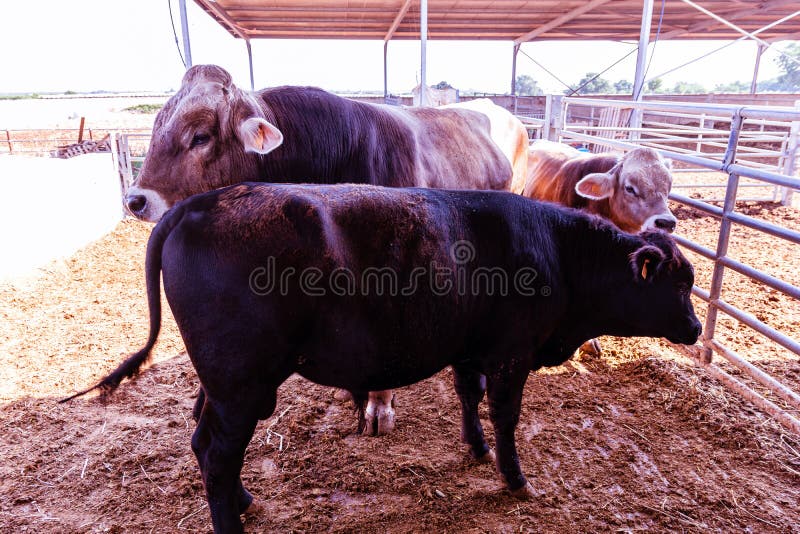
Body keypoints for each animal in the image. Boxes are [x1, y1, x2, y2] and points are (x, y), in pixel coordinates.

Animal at [65, 183, 702, 534]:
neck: (557, 252)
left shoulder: (470, 350)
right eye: (676, 285)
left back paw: (244, 501)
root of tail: (199, 203)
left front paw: (476, 450)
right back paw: (232, 521)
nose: (697, 328)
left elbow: (468, 399)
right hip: (241, 383)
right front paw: (515, 477)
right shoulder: (510, 356)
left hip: (222, 382)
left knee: (204, 440)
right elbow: (506, 417)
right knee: (216, 453)